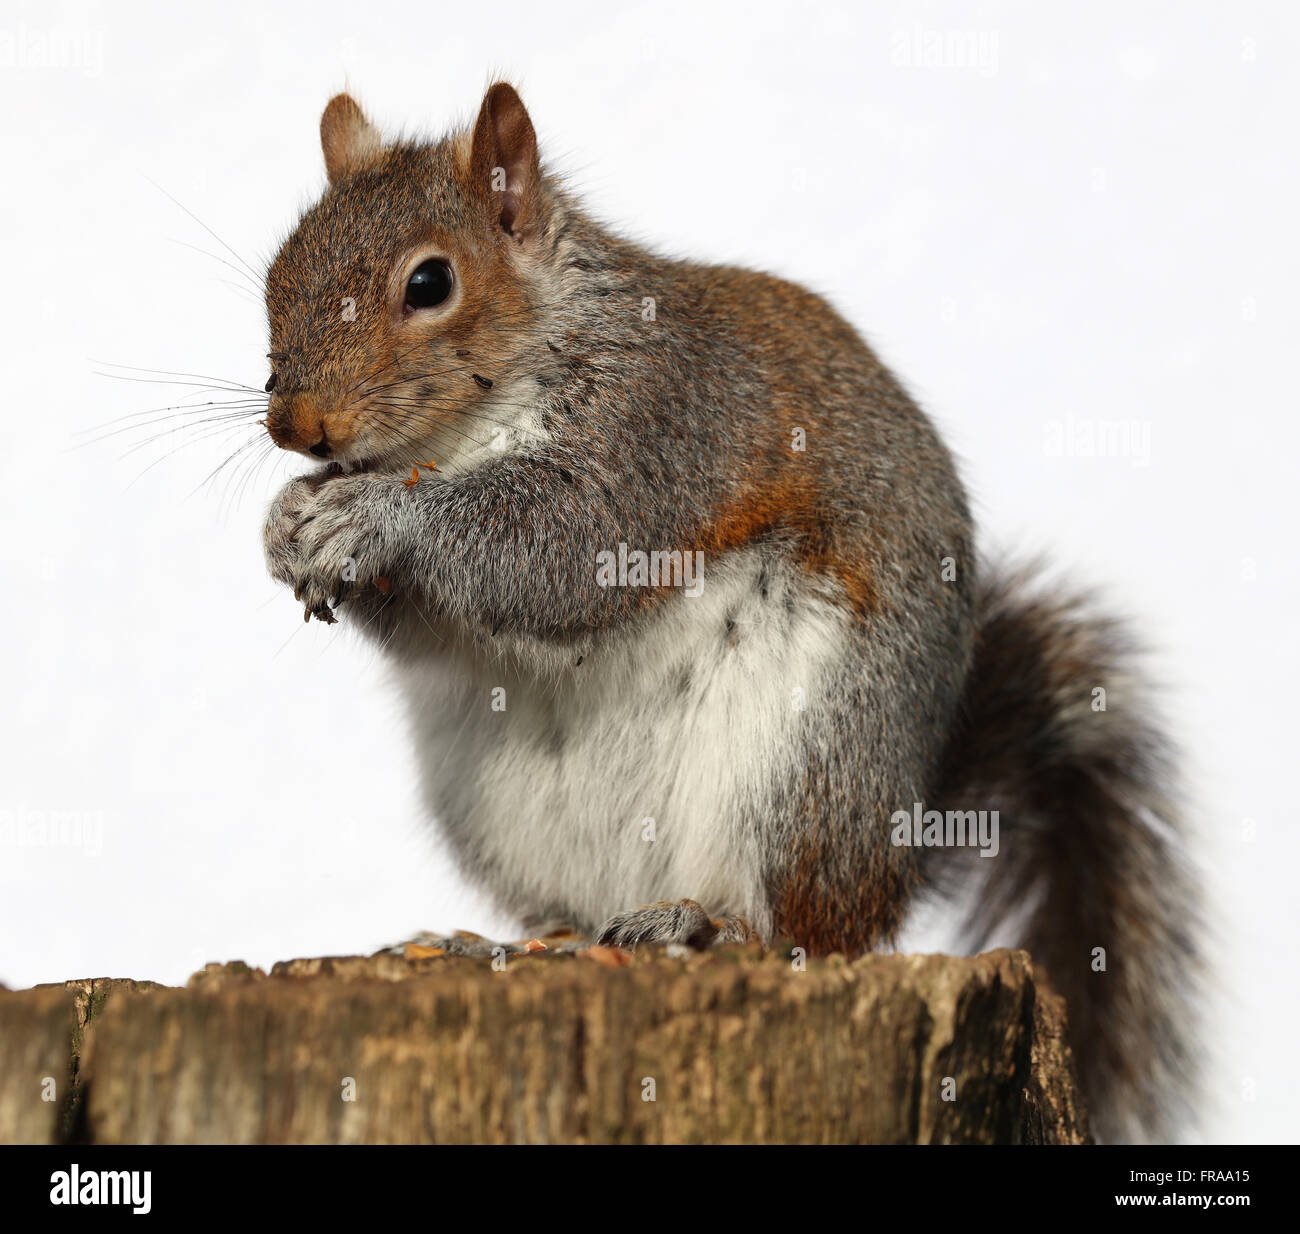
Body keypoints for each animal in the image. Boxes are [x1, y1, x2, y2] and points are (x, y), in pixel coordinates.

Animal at [260, 83, 1200, 1141]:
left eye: (430, 283)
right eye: (278, 270)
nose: (294, 428)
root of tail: (899, 850)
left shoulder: (660, 432)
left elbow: (556, 554)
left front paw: (376, 519)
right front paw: (288, 523)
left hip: (805, 769)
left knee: (803, 930)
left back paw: (705, 926)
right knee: (583, 912)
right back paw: (518, 945)